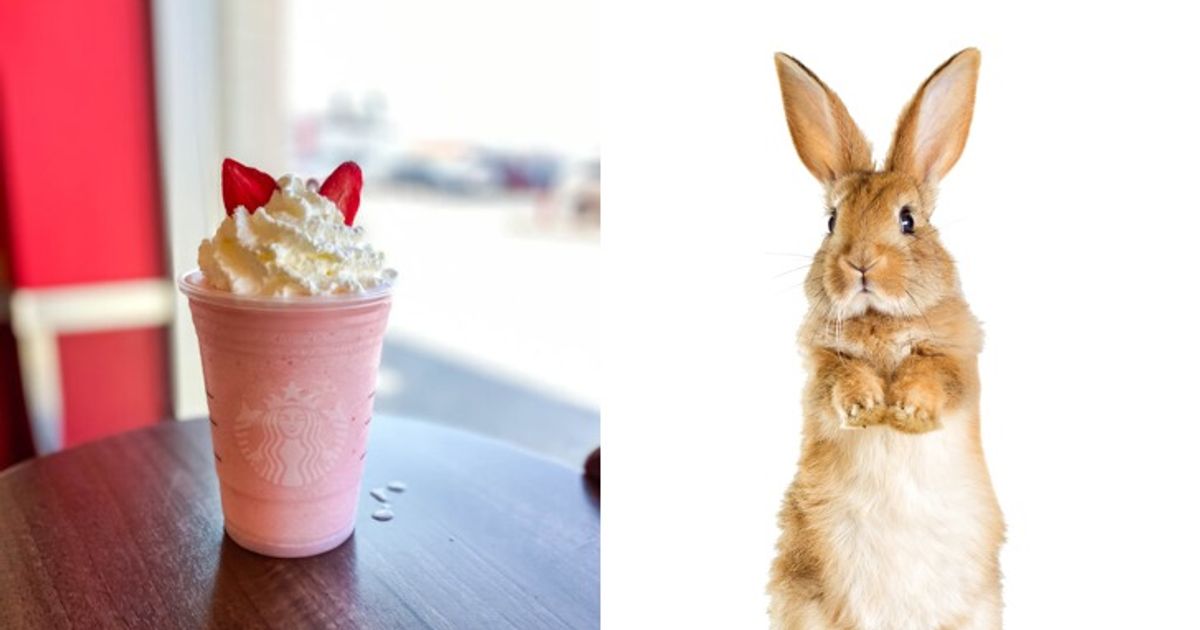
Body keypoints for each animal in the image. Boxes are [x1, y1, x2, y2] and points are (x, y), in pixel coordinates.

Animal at [766, 49, 1005, 630]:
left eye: (908, 220)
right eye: (832, 221)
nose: (861, 263)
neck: (880, 319)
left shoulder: (957, 360)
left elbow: (933, 376)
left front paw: (906, 413)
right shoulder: (821, 367)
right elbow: (843, 381)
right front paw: (868, 408)